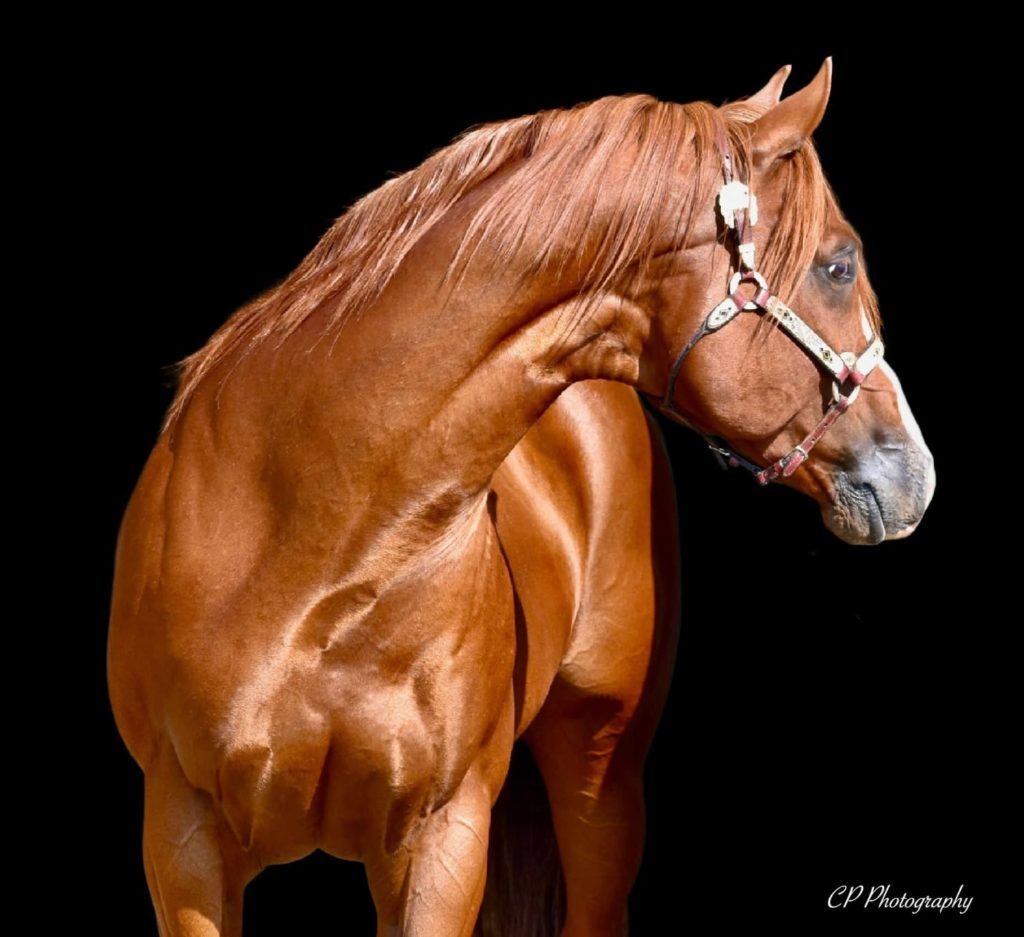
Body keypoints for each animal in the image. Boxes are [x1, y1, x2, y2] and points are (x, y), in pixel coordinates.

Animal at [108, 60, 935, 936]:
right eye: (838, 264)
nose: (914, 471)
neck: (308, 537)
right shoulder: (185, 843)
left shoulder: (441, 840)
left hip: (601, 781)